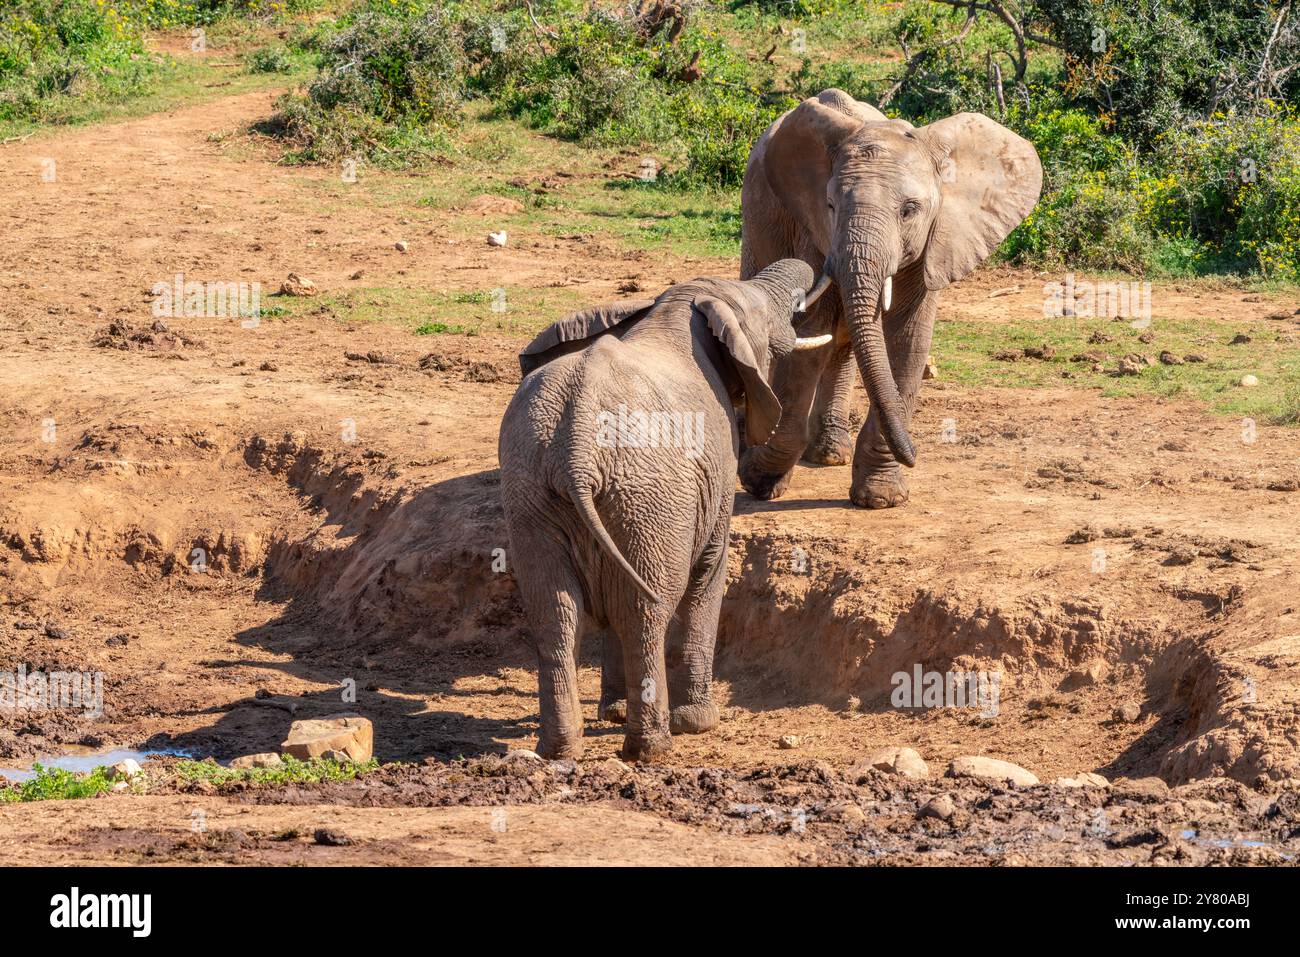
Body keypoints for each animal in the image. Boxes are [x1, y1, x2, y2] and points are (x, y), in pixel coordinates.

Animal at [498, 259, 827, 761]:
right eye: (764, 314)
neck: (674, 308)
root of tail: (576, 449)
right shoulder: (719, 462)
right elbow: (709, 570)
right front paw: (699, 723)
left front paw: (613, 713)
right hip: (651, 499)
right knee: (644, 611)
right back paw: (651, 748)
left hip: (534, 494)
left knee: (555, 611)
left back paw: (559, 749)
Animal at [737, 88, 1043, 508]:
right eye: (830, 206)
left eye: (909, 210)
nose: (913, 454)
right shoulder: (813, 229)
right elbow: (810, 332)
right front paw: (758, 479)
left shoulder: (936, 239)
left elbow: (907, 339)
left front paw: (880, 498)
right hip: (755, 224)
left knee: (844, 341)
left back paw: (829, 453)